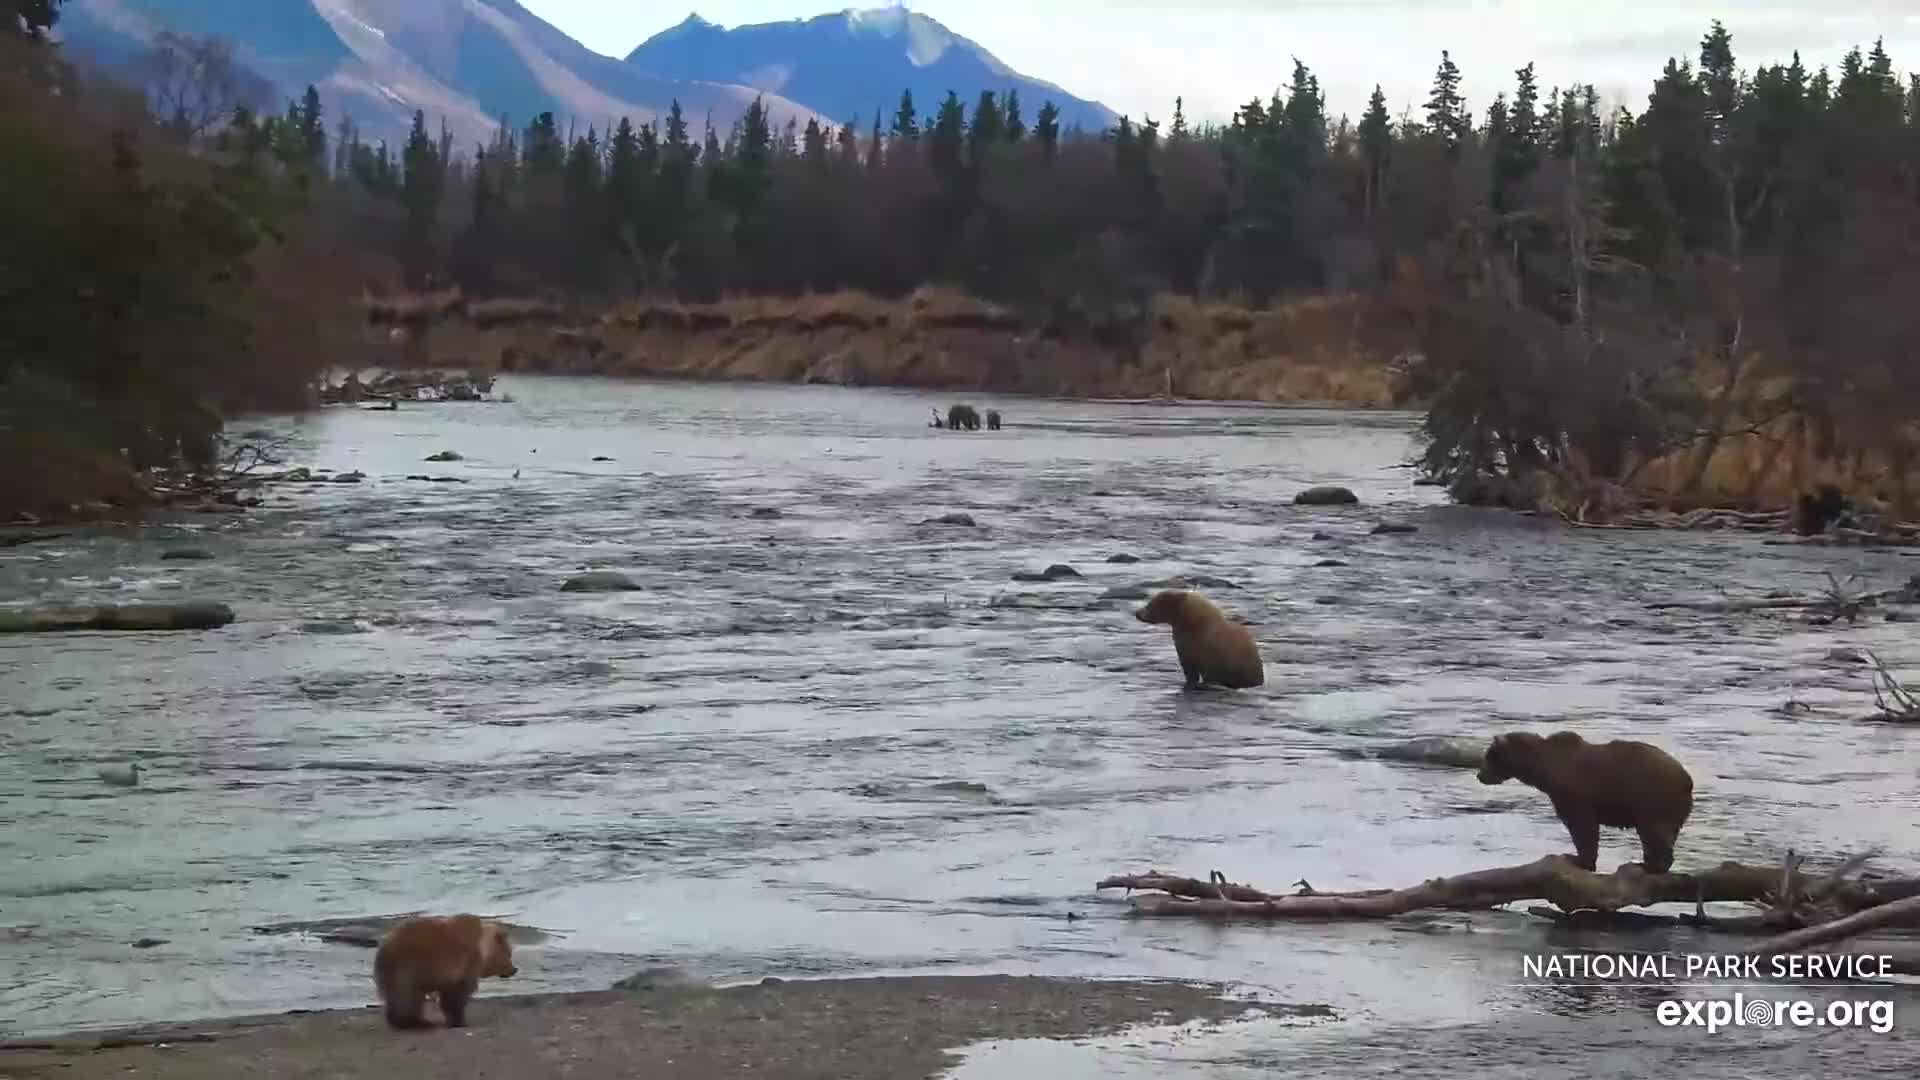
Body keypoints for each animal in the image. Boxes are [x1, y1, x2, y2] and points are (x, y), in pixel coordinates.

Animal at [373, 914, 517, 1030]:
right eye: (509, 953)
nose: (514, 969)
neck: (482, 950)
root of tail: (383, 946)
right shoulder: (465, 965)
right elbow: (457, 995)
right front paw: (460, 1022)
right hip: (408, 966)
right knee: (407, 997)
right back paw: (416, 1023)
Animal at [1476, 731, 1693, 874]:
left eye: (1488, 756)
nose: (1480, 775)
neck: (1543, 767)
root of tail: (1687, 779)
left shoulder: (1573, 792)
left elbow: (1582, 825)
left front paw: (1576, 858)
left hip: (1652, 797)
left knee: (1654, 831)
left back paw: (1650, 865)